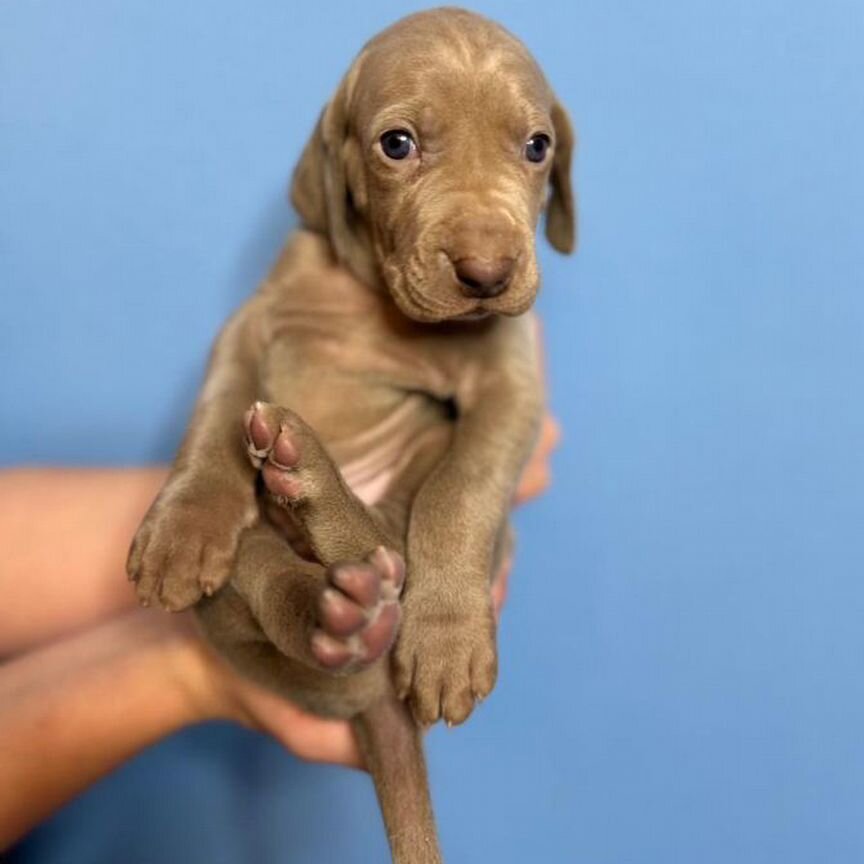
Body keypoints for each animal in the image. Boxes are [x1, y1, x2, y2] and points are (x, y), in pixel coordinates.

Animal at [126, 8, 572, 864]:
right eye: (397, 144)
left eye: (537, 147)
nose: (488, 273)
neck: (378, 301)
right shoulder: (251, 325)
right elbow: (216, 411)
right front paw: (183, 524)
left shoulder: (510, 385)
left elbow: (462, 493)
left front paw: (447, 639)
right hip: (235, 608)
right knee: (279, 589)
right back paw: (337, 593)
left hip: (428, 468)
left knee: (395, 533)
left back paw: (335, 524)